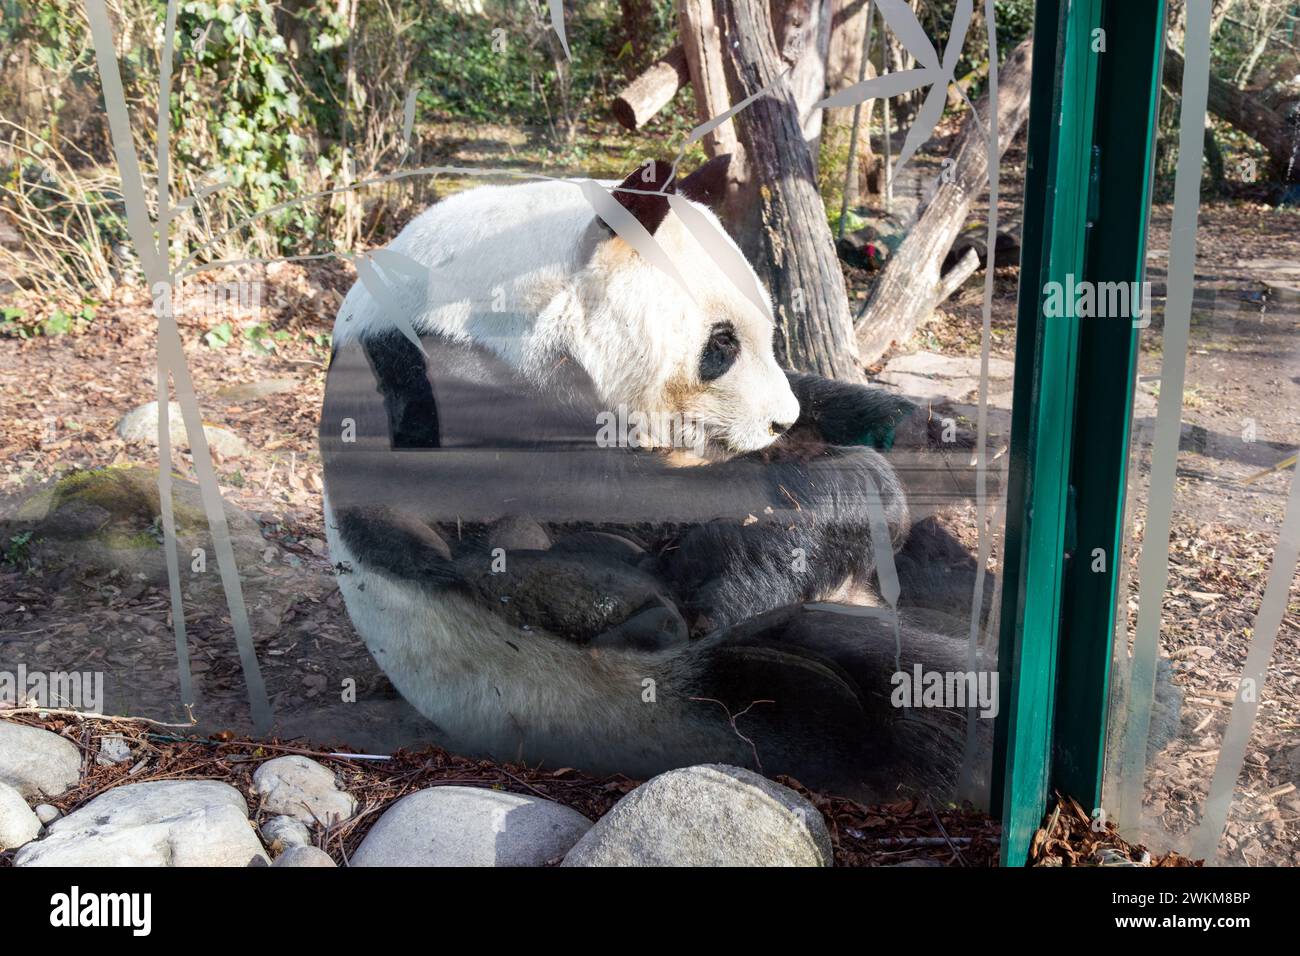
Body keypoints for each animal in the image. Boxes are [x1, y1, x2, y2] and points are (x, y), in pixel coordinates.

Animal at [320, 156, 994, 800]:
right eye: (722, 344)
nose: (779, 422)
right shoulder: (448, 392)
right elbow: (623, 514)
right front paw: (863, 485)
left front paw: (938, 432)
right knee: (868, 683)